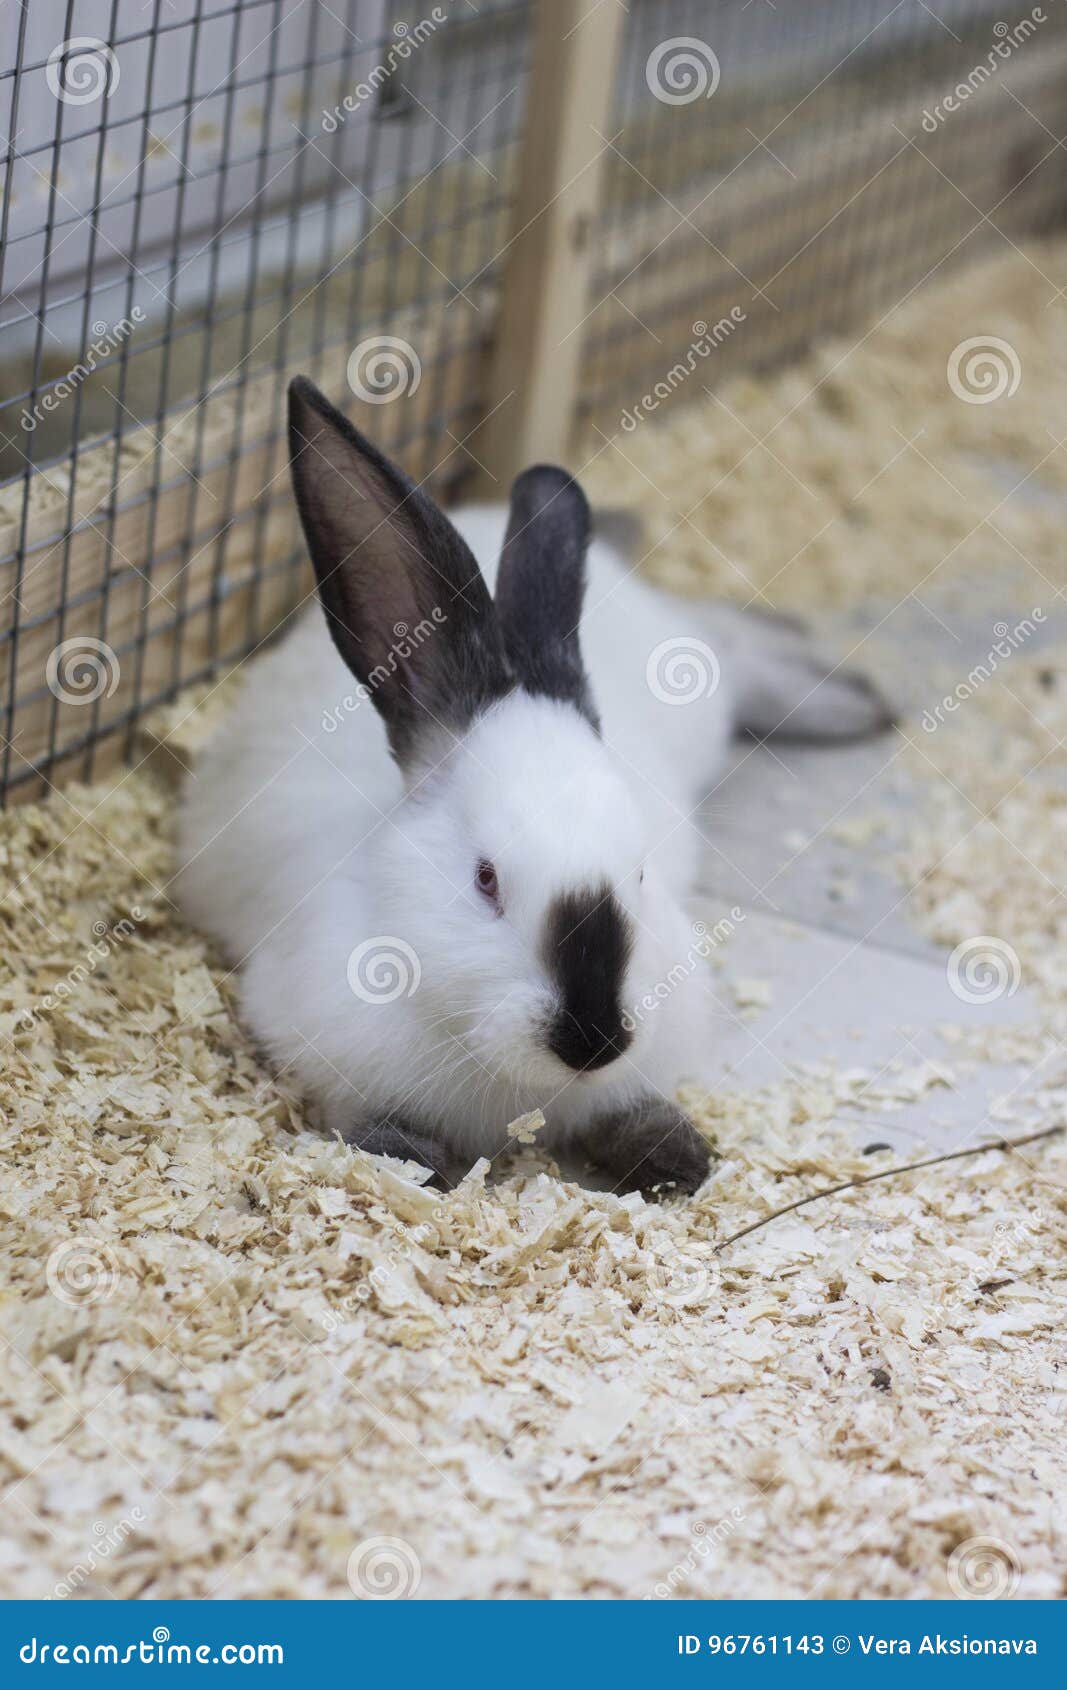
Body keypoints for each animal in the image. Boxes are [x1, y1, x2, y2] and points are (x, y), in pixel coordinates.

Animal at [176, 376, 892, 1196]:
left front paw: (676, 1156)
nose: (593, 1042)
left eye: (640, 873)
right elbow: (379, 1130)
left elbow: (636, 1111)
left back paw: (855, 698)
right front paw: (411, 1161)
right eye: (484, 879)